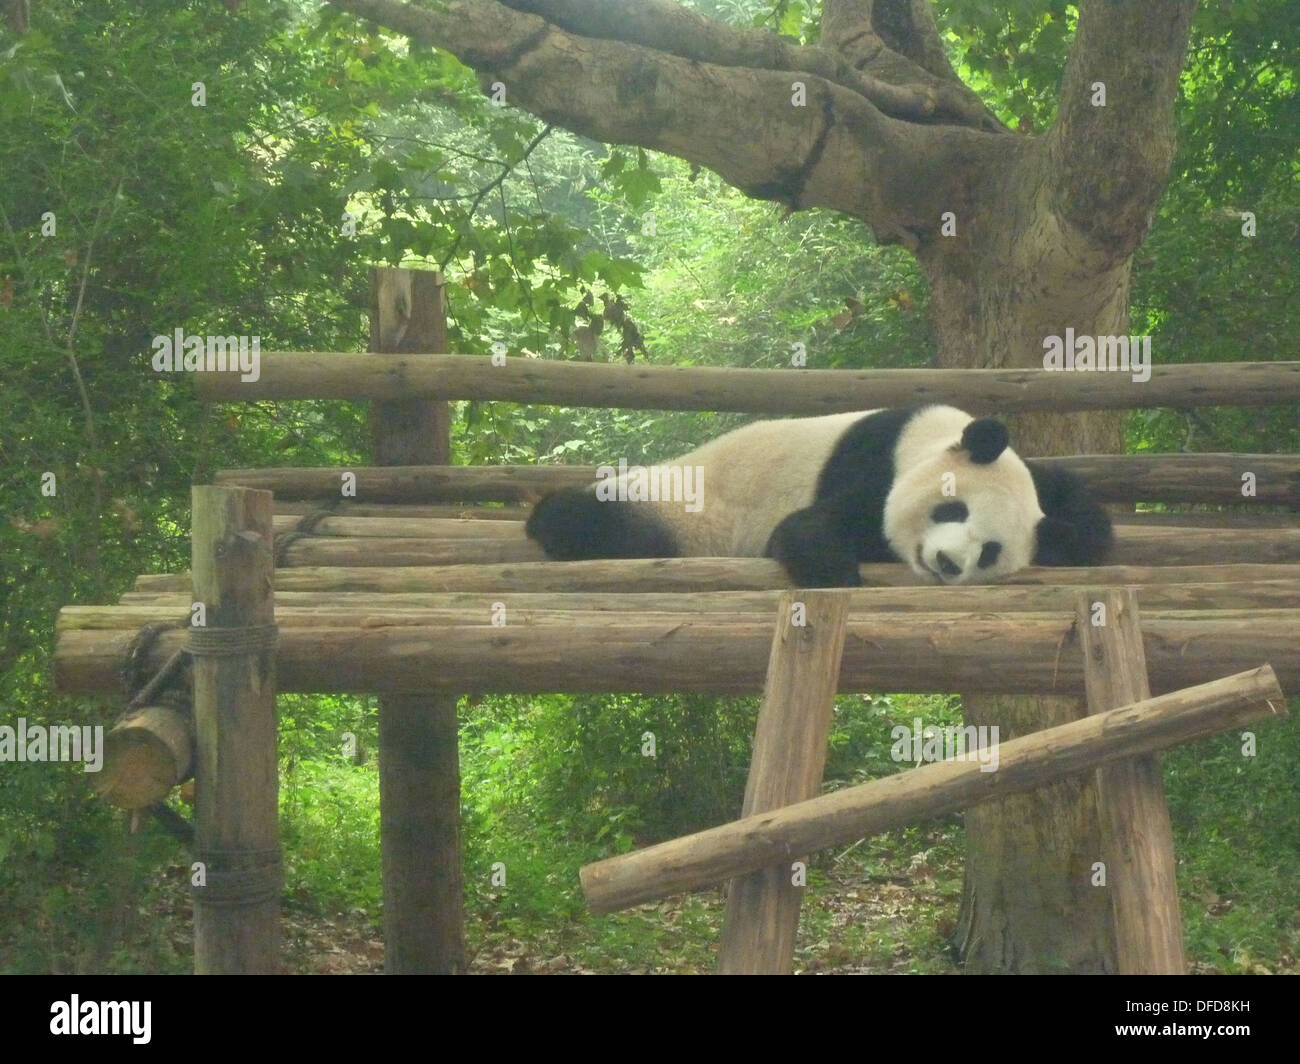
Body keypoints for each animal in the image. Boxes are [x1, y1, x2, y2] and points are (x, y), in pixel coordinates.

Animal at [524, 404, 1112, 587]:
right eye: (952, 508)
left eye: (989, 552)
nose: (947, 562)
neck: (928, 435)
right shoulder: (873, 461)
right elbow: (805, 528)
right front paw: (837, 572)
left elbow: (1071, 501)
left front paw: (1077, 535)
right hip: (676, 501)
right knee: (599, 519)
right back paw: (546, 521)